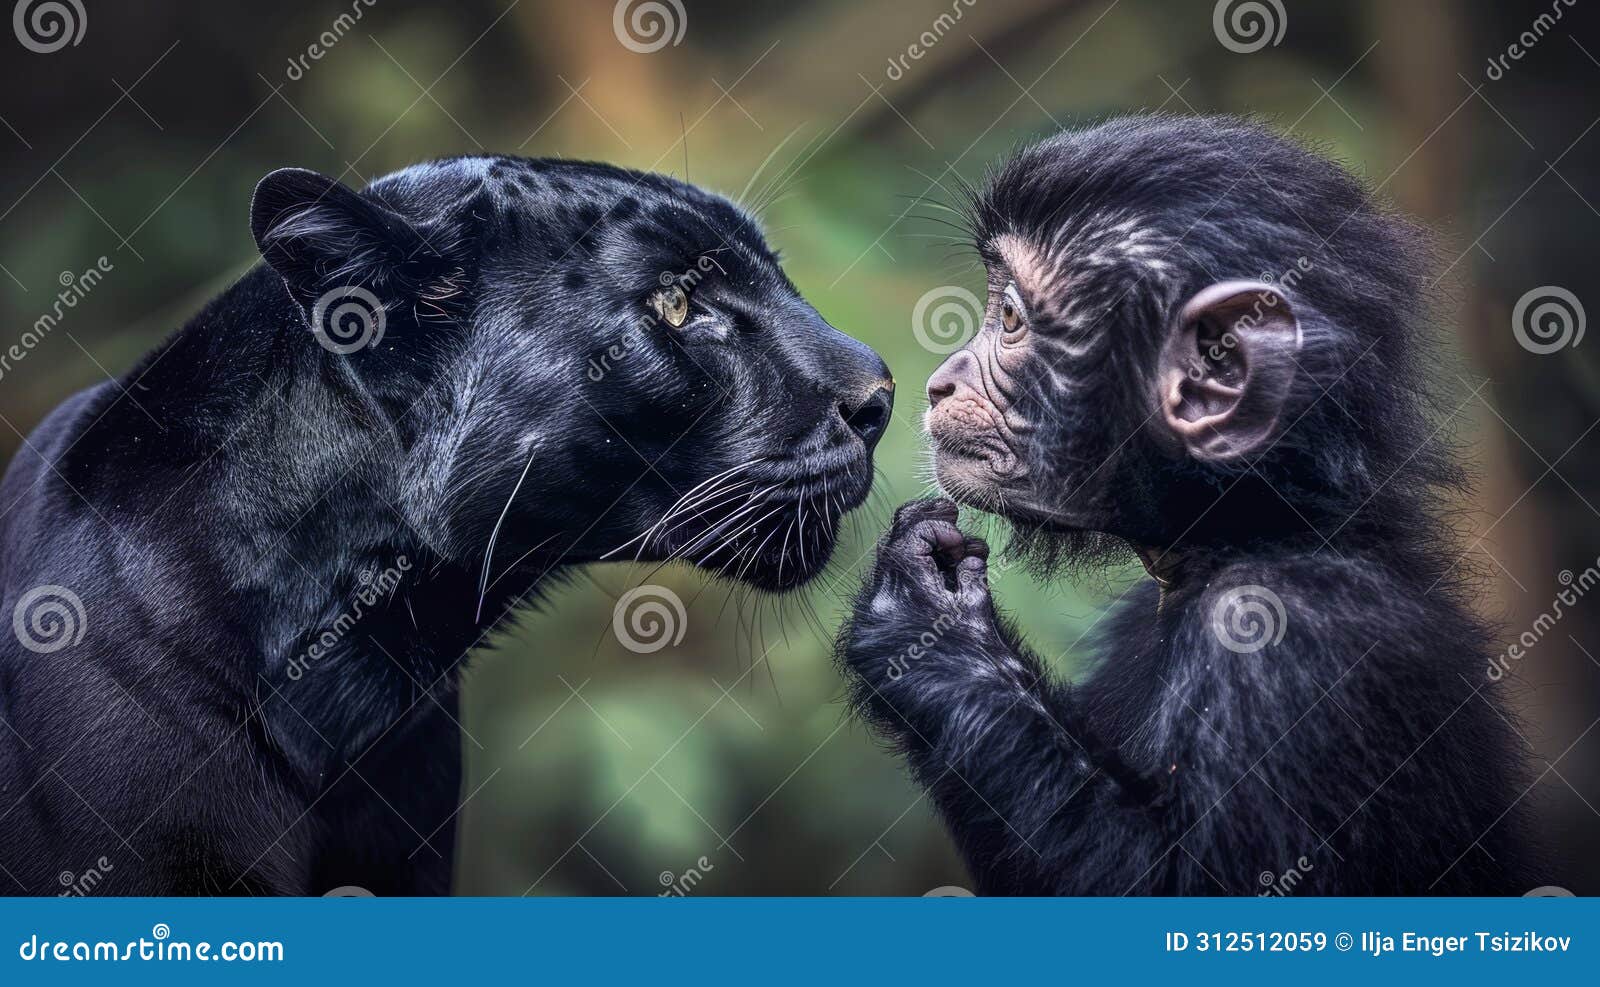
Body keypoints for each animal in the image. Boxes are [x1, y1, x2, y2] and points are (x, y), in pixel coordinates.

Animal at [837, 116, 1540, 895]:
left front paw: (927, 627)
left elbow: (1177, 882)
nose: (942, 381)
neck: (1245, 536)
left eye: (1011, 316)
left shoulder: (1299, 642)